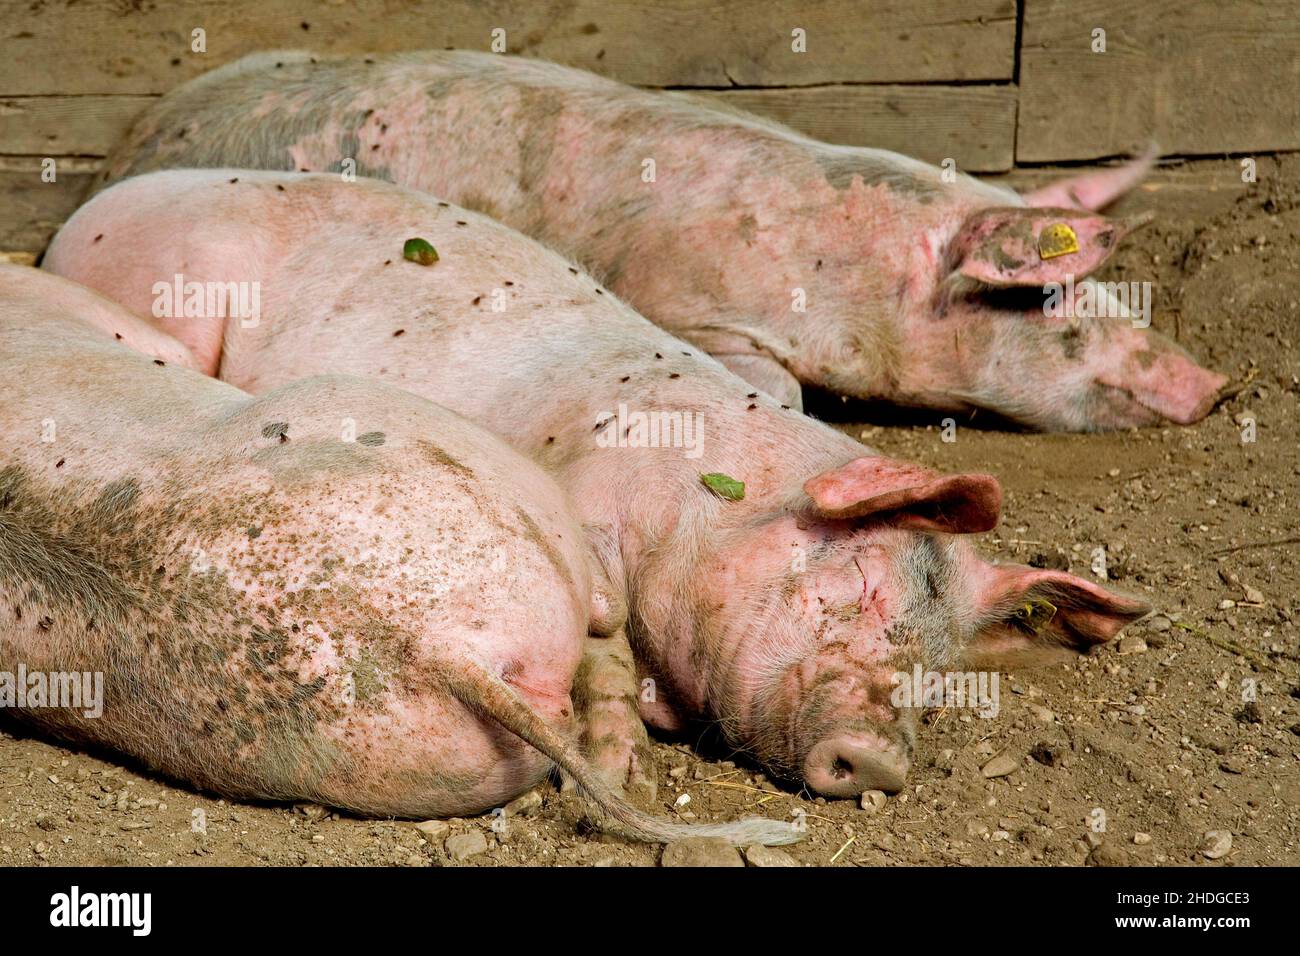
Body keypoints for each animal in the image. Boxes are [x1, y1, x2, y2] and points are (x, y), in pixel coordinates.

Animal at [47, 171, 1152, 799]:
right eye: (852, 586)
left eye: (938, 661)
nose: (880, 760)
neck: (701, 501)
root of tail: (94, 208)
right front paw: (630, 754)